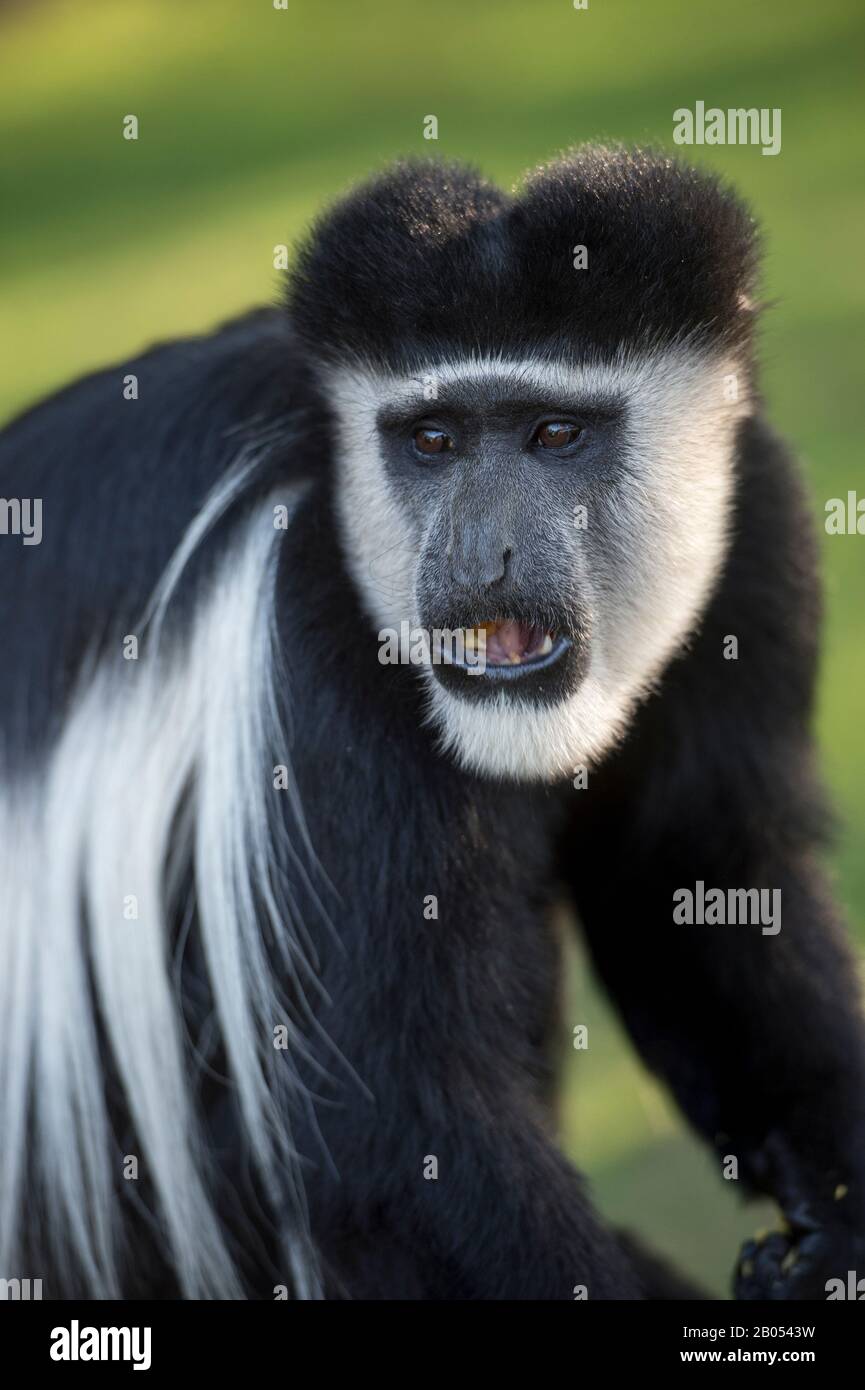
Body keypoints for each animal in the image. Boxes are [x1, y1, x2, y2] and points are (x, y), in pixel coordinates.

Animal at [0, 146, 863, 1300]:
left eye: (554, 433)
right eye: (433, 439)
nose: (478, 555)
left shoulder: (752, 516)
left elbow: (705, 882)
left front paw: (836, 1223)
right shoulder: (302, 649)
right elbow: (397, 1128)